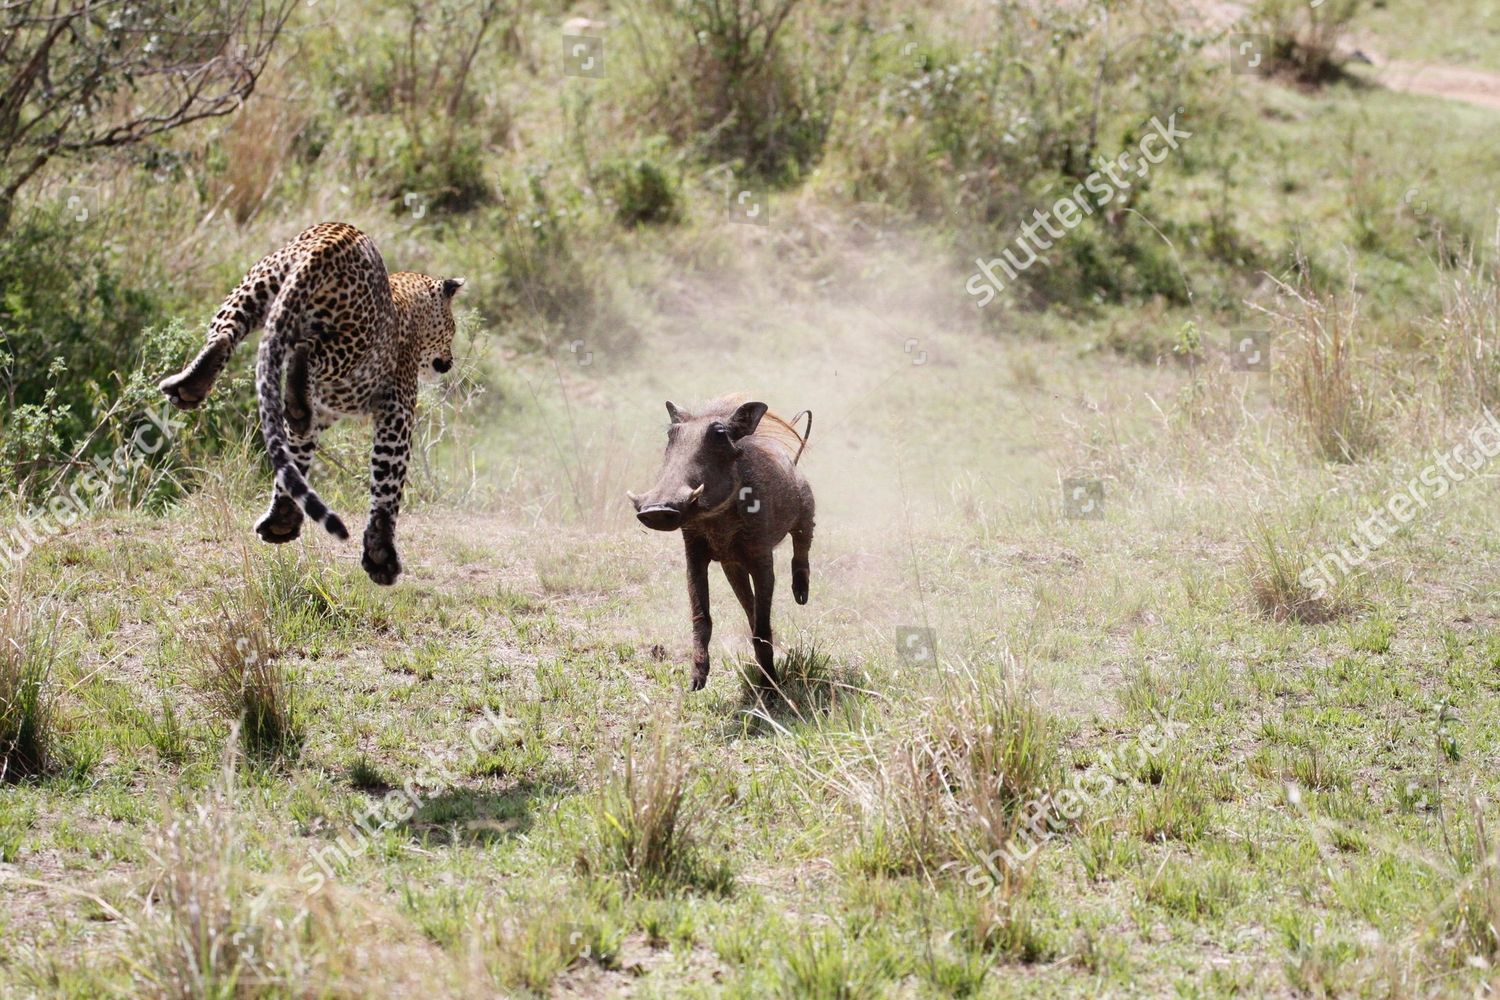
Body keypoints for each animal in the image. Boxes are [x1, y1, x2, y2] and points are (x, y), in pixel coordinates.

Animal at [158, 222, 463, 586]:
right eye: (452, 328)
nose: (450, 360)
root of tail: (330, 239)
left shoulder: (326, 414)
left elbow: (296, 455)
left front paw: (283, 519)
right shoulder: (397, 410)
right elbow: (388, 481)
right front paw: (381, 554)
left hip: (254, 290)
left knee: (225, 334)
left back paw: (191, 385)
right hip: (351, 340)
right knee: (306, 352)